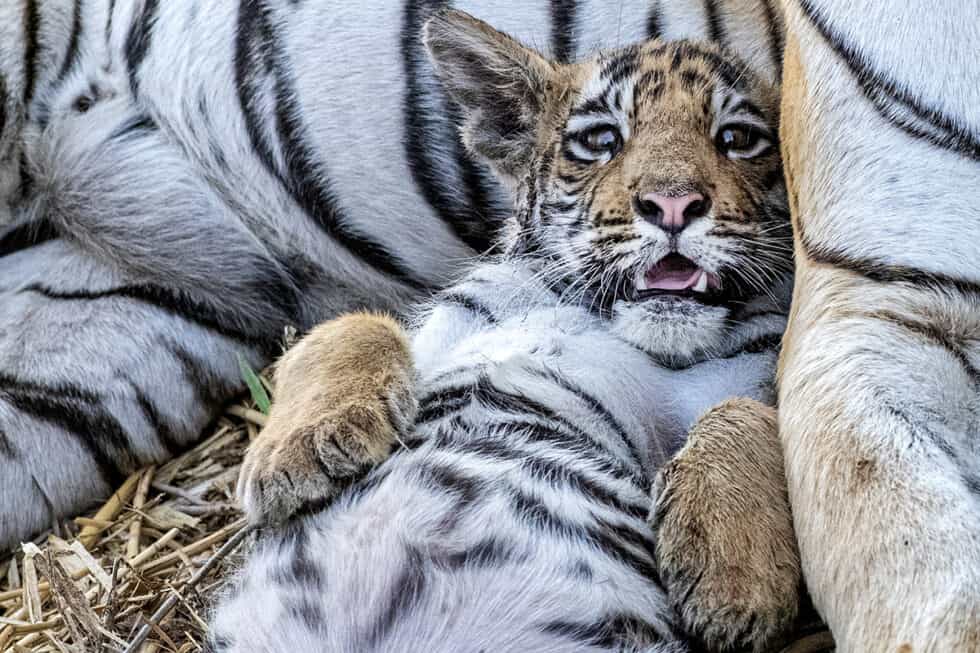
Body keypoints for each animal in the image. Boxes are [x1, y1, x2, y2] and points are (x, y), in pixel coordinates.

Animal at [208, 9, 801, 652]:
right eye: (601, 141)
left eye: (738, 139)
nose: (672, 204)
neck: (592, 314)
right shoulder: (438, 330)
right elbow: (353, 324)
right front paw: (294, 457)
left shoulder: (736, 379)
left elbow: (746, 410)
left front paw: (733, 583)